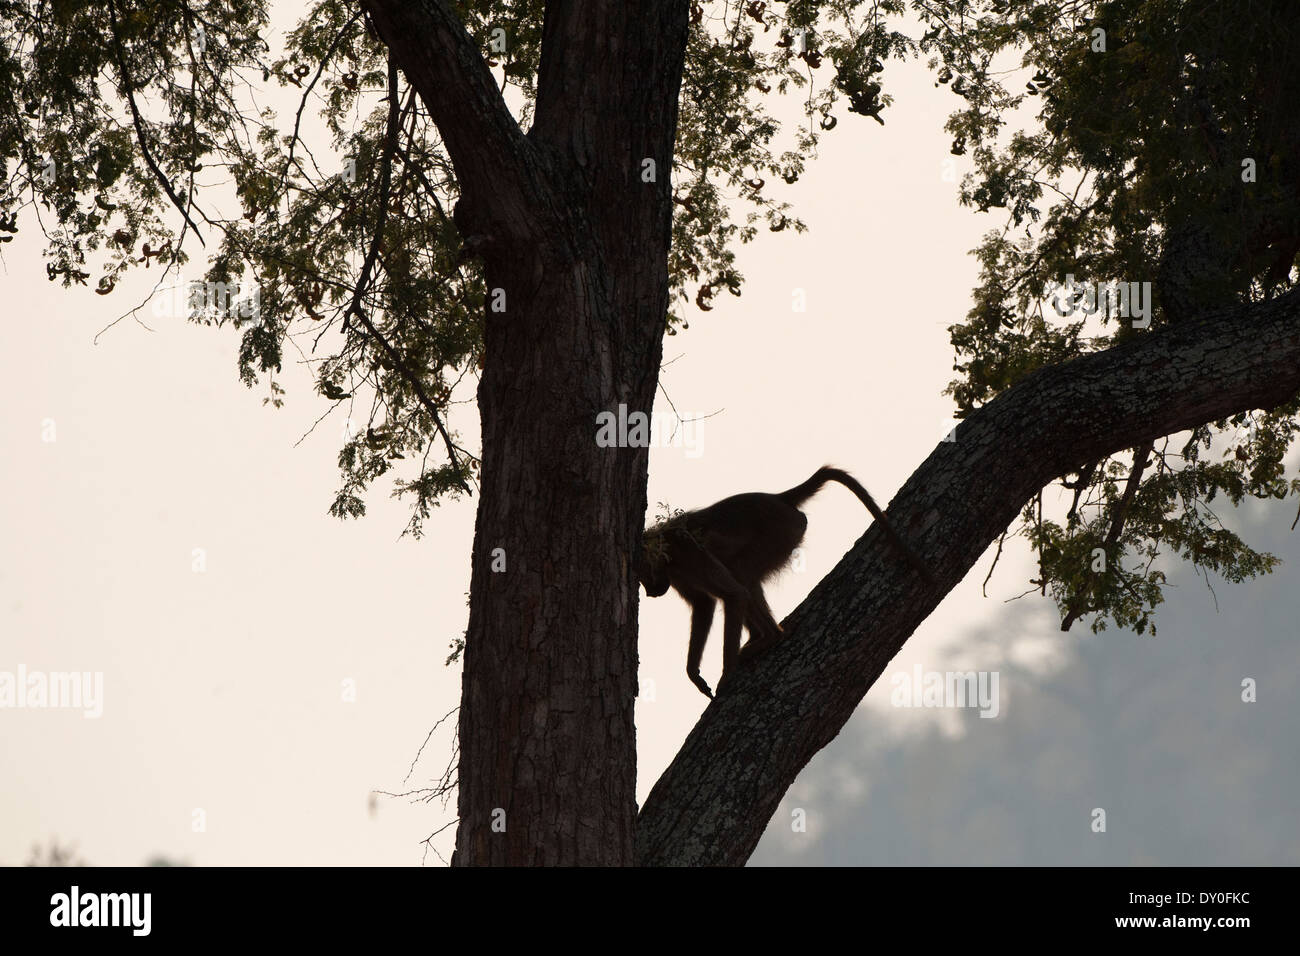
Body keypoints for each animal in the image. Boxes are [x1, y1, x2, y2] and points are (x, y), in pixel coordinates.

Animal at [638, 466, 933, 698]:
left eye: (644, 577)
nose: (651, 592)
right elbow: (704, 605)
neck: (670, 555)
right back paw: (759, 637)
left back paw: (769, 637)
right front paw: (693, 673)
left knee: (741, 576)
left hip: (783, 532)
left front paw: (726, 675)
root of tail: (777, 498)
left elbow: (732, 594)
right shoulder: (678, 574)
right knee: (742, 578)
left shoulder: (689, 552)